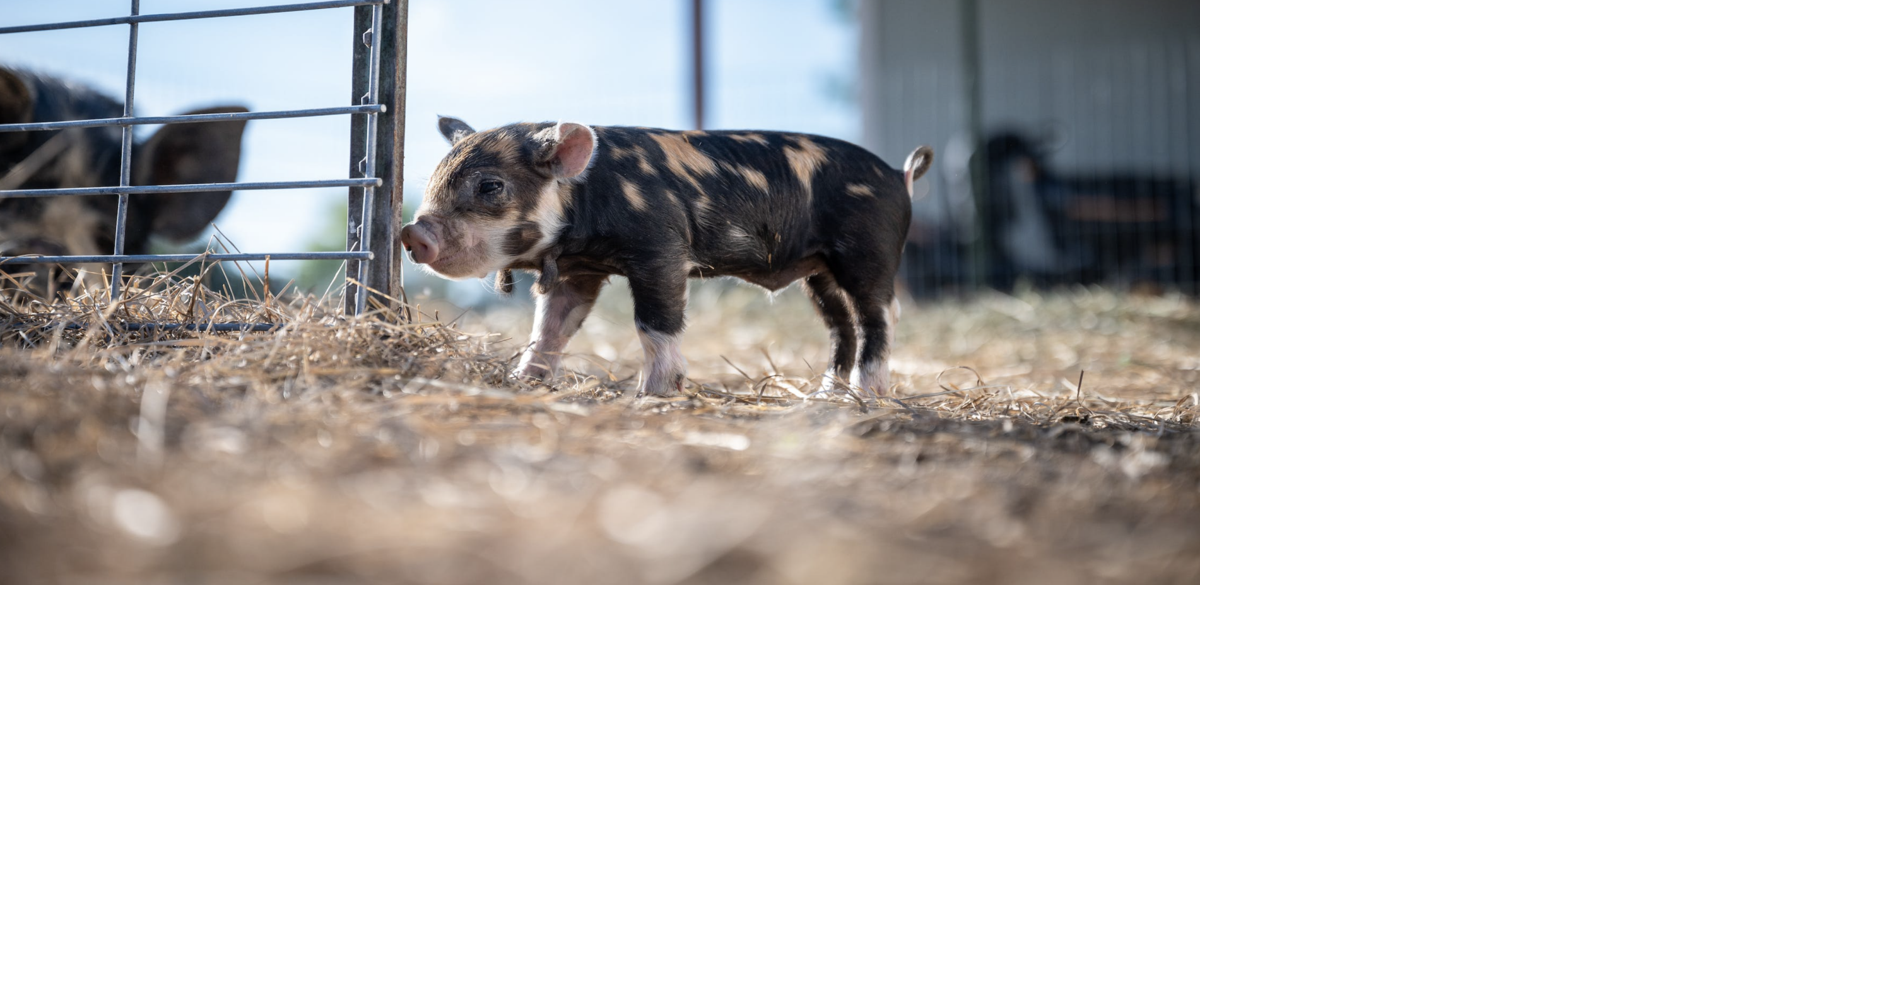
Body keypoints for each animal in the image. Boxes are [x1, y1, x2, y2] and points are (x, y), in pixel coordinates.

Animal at [401, 116, 932, 396]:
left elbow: (654, 322)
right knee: (842, 325)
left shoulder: (661, 249)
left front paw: (654, 393)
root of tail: (898, 175)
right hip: (817, 271)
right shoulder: (579, 272)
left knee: (880, 316)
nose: (411, 231)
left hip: (867, 251)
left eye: (490, 187)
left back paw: (868, 393)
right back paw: (826, 395)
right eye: (433, 182)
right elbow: (549, 329)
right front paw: (523, 380)